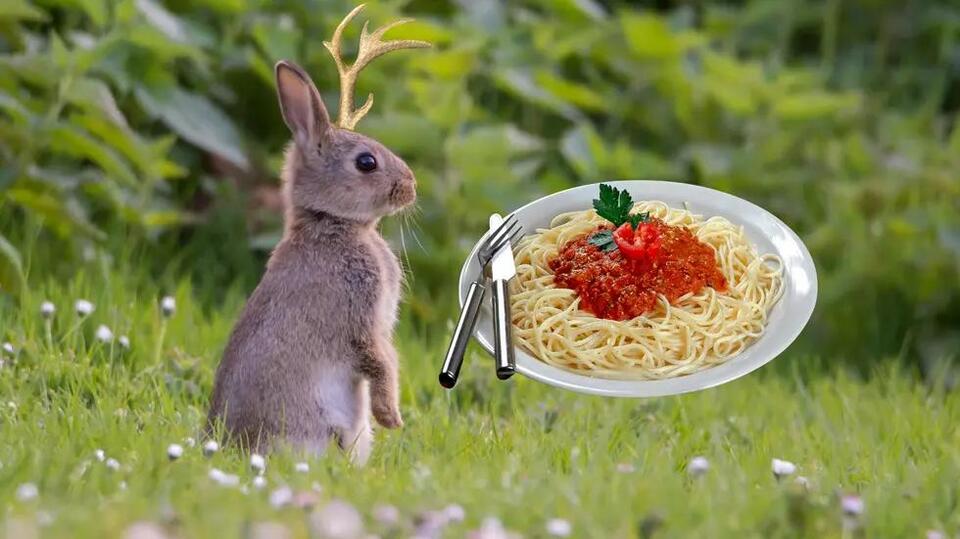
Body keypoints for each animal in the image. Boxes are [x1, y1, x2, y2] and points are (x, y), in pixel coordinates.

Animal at [206, 60, 415, 464]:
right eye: (366, 162)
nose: (411, 186)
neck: (331, 223)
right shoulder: (360, 319)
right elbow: (379, 362)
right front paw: (391, 417)